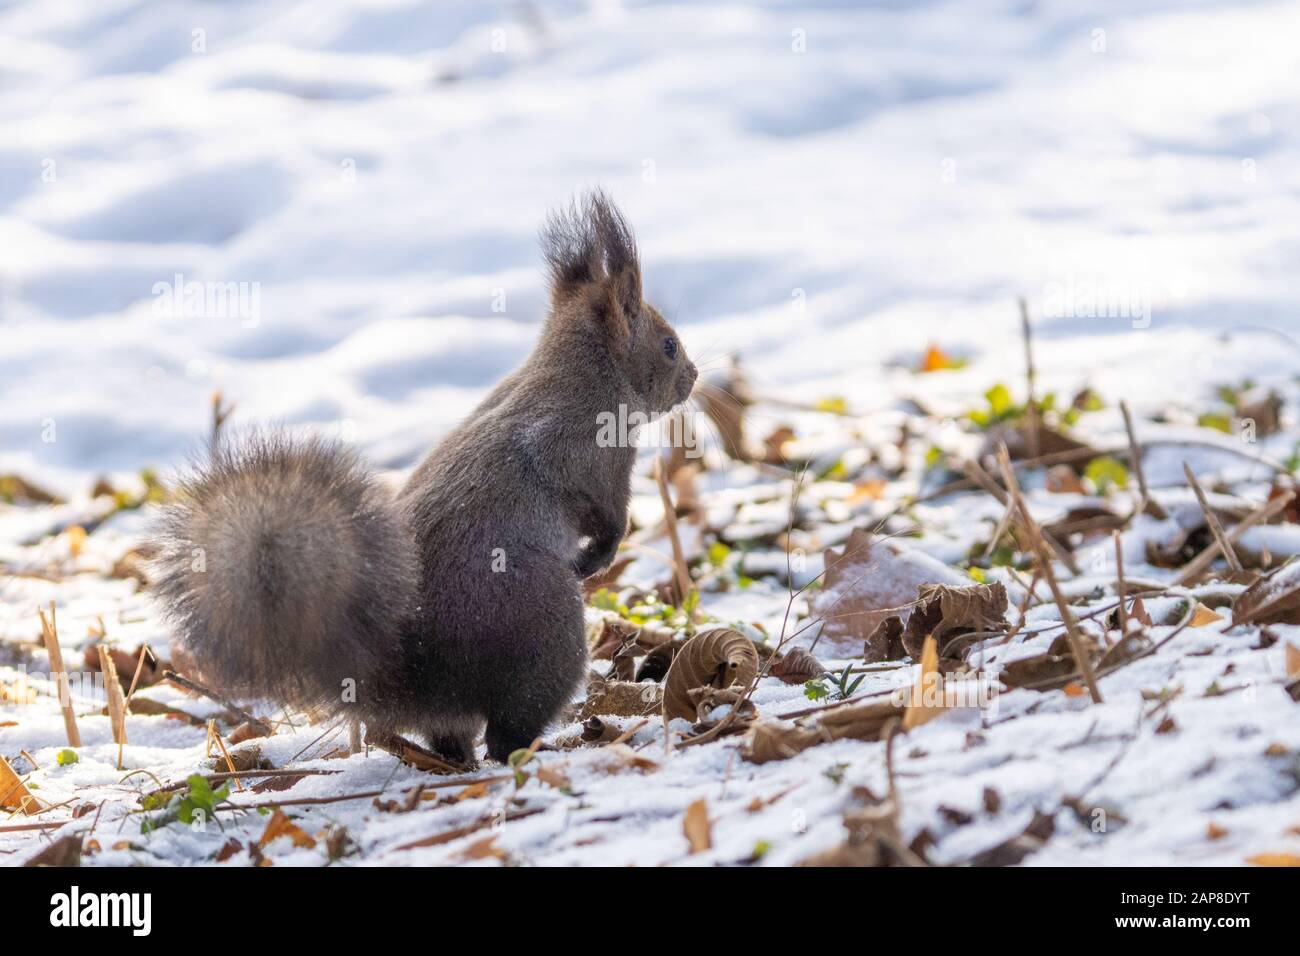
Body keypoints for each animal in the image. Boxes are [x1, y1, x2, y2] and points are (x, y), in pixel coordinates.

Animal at [153, 190, 697, 764]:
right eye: (668, 345)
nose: (694, 377)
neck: (580, 372)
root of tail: (410, 677)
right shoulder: (591, 461)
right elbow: (608, 519)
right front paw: (595, 560)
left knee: (454, 738)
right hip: (546, 632)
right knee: (505, 735)